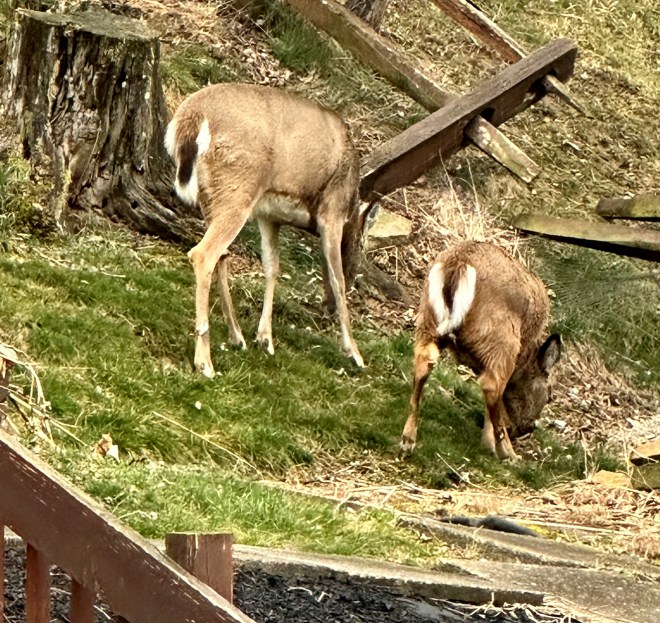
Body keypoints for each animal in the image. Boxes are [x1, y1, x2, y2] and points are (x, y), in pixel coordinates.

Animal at [165, 83, 373, 378]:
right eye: (359, 251)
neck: (351, 207)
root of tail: (189, 119)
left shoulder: (269, 217)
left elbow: (272, 267)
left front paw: (265, 338)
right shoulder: (331, 213)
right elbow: (338, 280)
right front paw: (354, 353)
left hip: (214, 195)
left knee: (221, 255)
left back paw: (236, 336)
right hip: (238, 186)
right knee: (203, 254)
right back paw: (205, 361)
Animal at [400, 241, 561, 460]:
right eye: (549, 396)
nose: (527, 429)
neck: (527, 357)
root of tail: (458, 264)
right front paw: (492, 444)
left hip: (427, 319)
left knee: (423, 361)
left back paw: (408, 439)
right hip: (502, 339)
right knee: (491, 385)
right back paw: (507, 452)